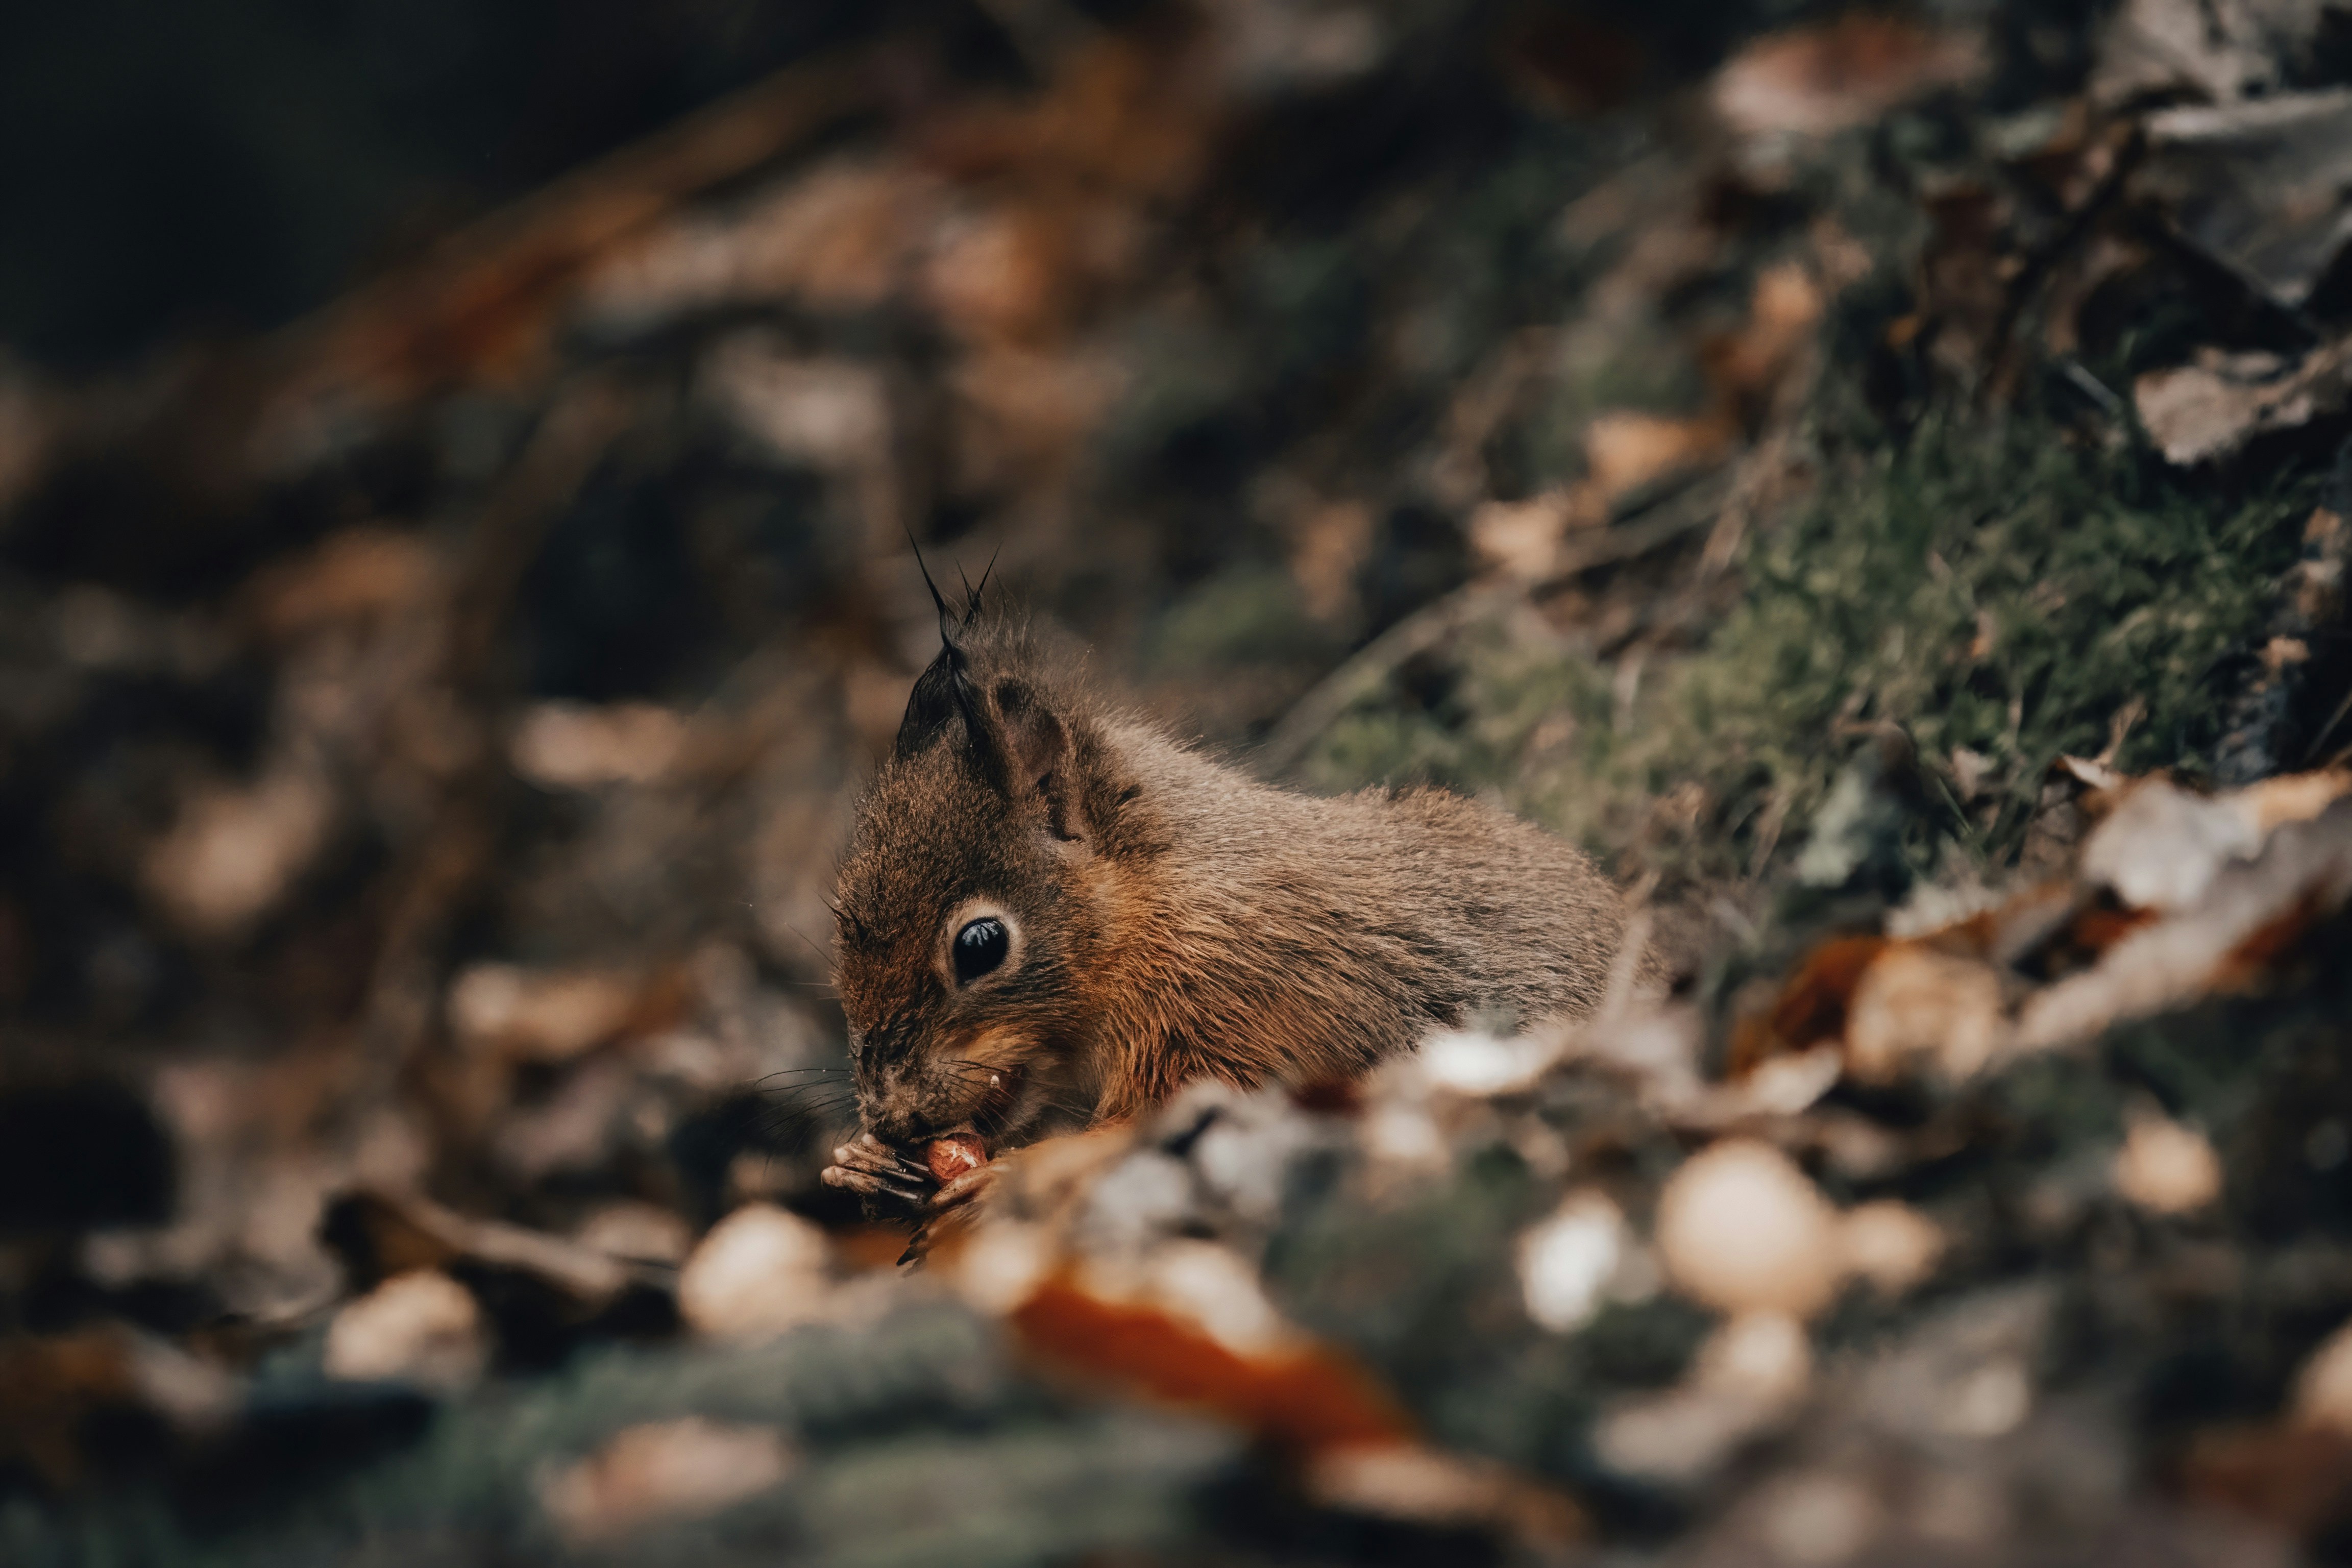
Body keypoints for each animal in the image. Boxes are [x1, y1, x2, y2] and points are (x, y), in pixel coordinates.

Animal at [819, 576, 1650, 1226]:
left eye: (982, 945)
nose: (887, 1114)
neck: (1160, 899)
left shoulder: (1243, 995)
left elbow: (1159, 1117)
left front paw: (1015, 1173)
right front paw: (861, 1165)